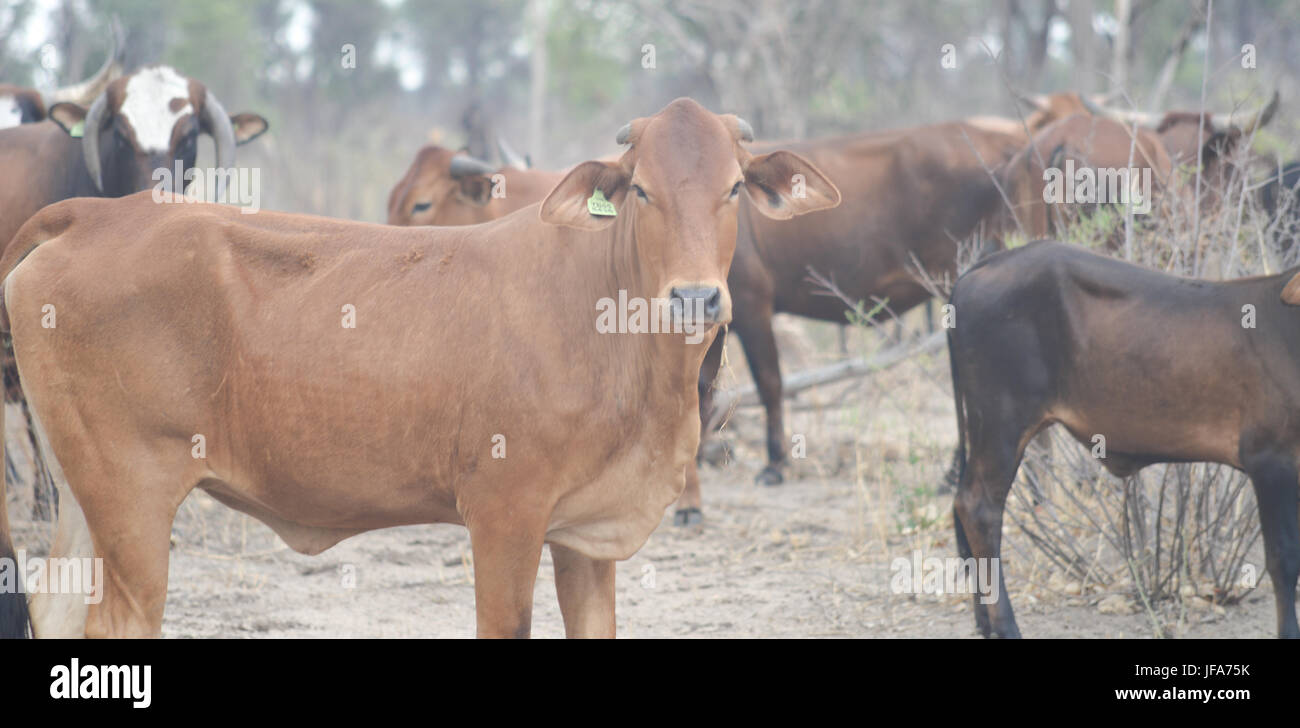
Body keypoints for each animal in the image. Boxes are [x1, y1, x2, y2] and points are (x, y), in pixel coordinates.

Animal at [945, 240, 1299, 638]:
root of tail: (984, 267)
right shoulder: (1270, 459)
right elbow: (1284, 559)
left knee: (962, 506)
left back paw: (984, 623)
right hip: (1002, 423)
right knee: (979, 509)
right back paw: (1006, 627)